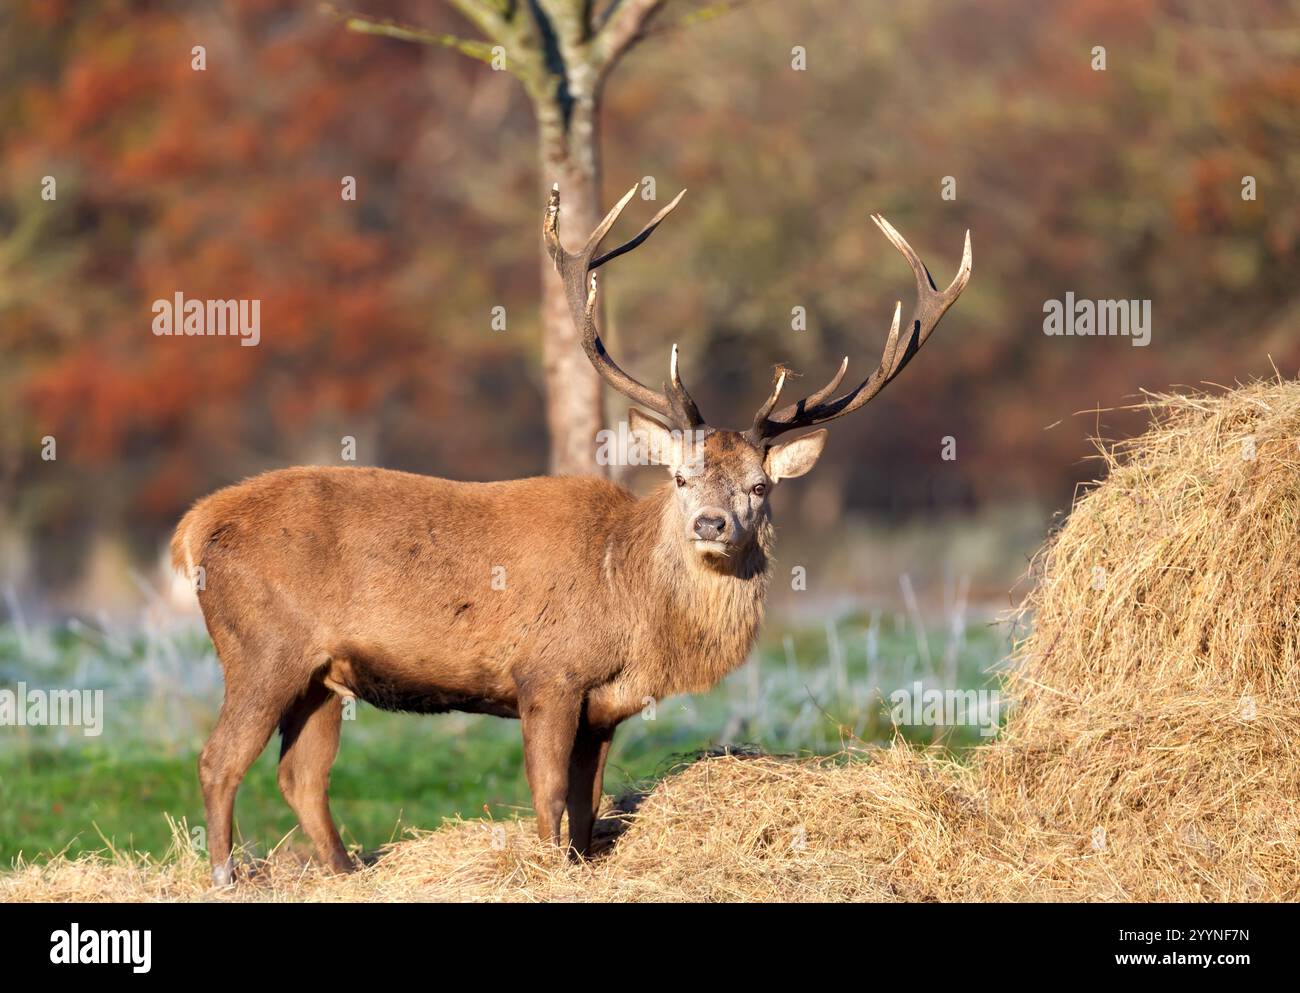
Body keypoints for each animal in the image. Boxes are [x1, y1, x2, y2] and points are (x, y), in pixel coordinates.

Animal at [172, 183, 970, 885]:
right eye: (681, 477)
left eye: (759, 486)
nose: (711, 523)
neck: (631, 604)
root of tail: (194, 526)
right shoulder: (547, 673)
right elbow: (549, 796)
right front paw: (542, 867)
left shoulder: (604, 705)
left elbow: (587, 808)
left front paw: (583, 864)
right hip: (261, 646)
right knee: (220, 760)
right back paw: (224, 875)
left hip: (321, 673)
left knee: (299, 774)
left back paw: (344, 874)